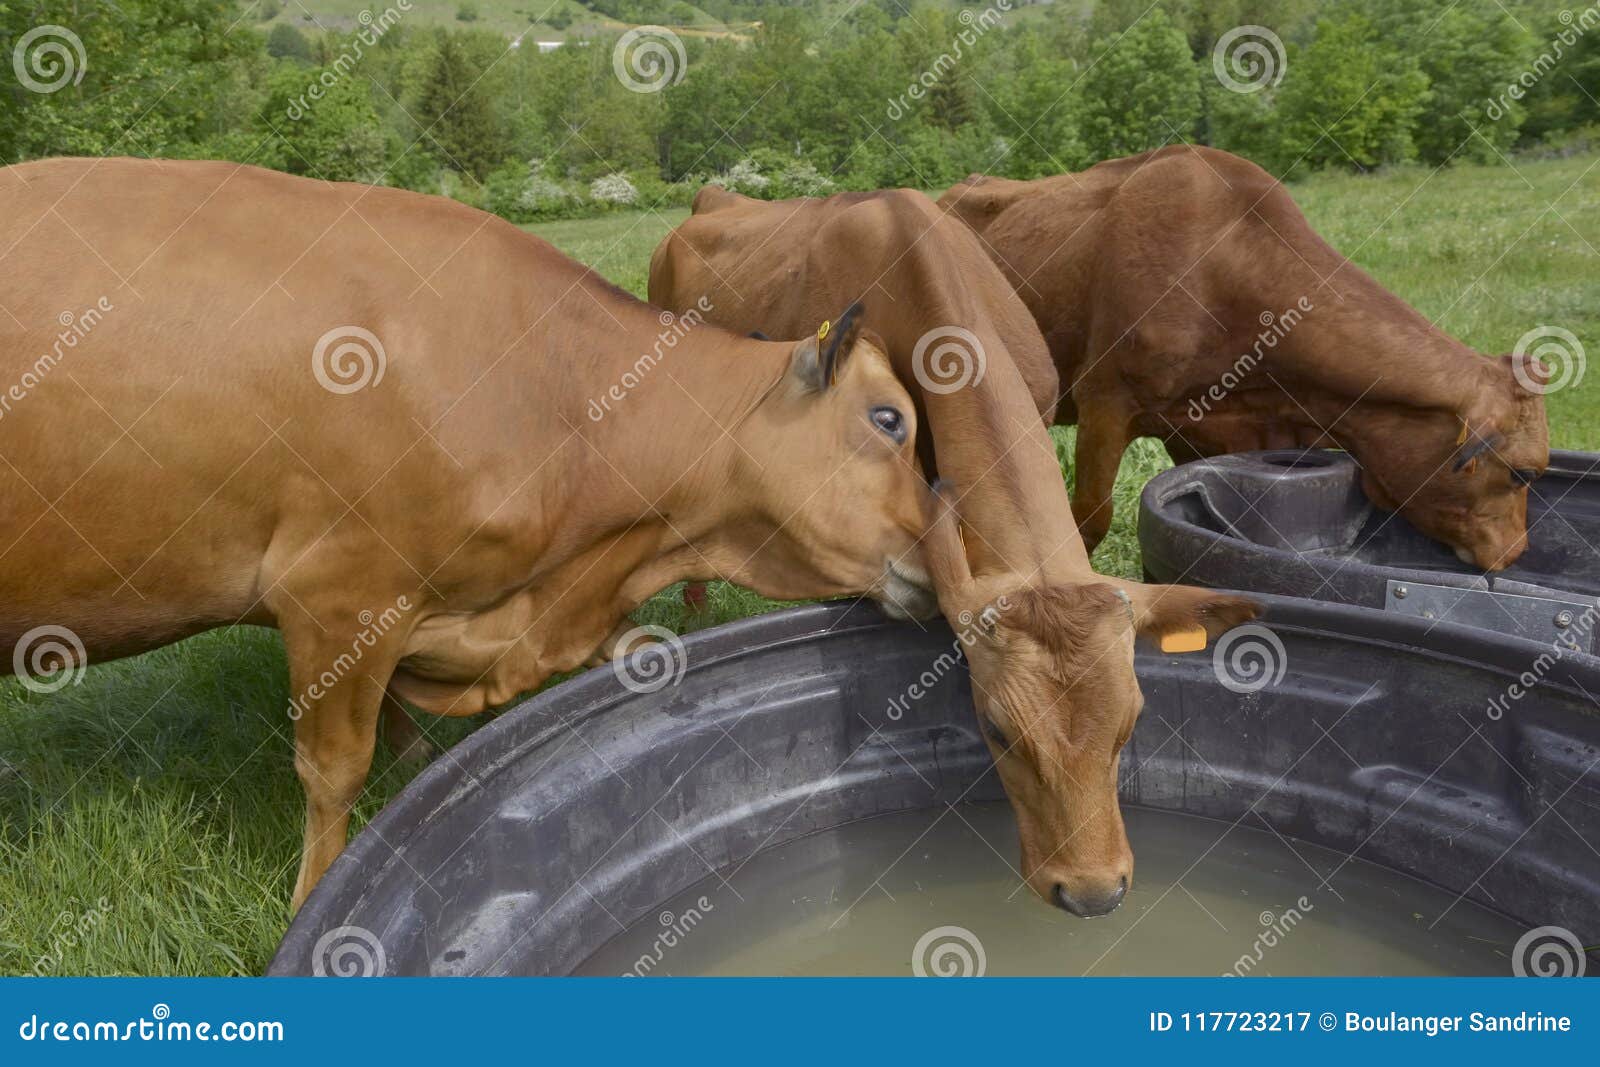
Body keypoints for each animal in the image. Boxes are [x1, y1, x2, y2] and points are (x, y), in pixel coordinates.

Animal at [0, 157, 946, 909]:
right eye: (890, 419)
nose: (945, 556)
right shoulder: (338, 592)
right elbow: (333, 772)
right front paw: (312, 897)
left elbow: (637, 656)